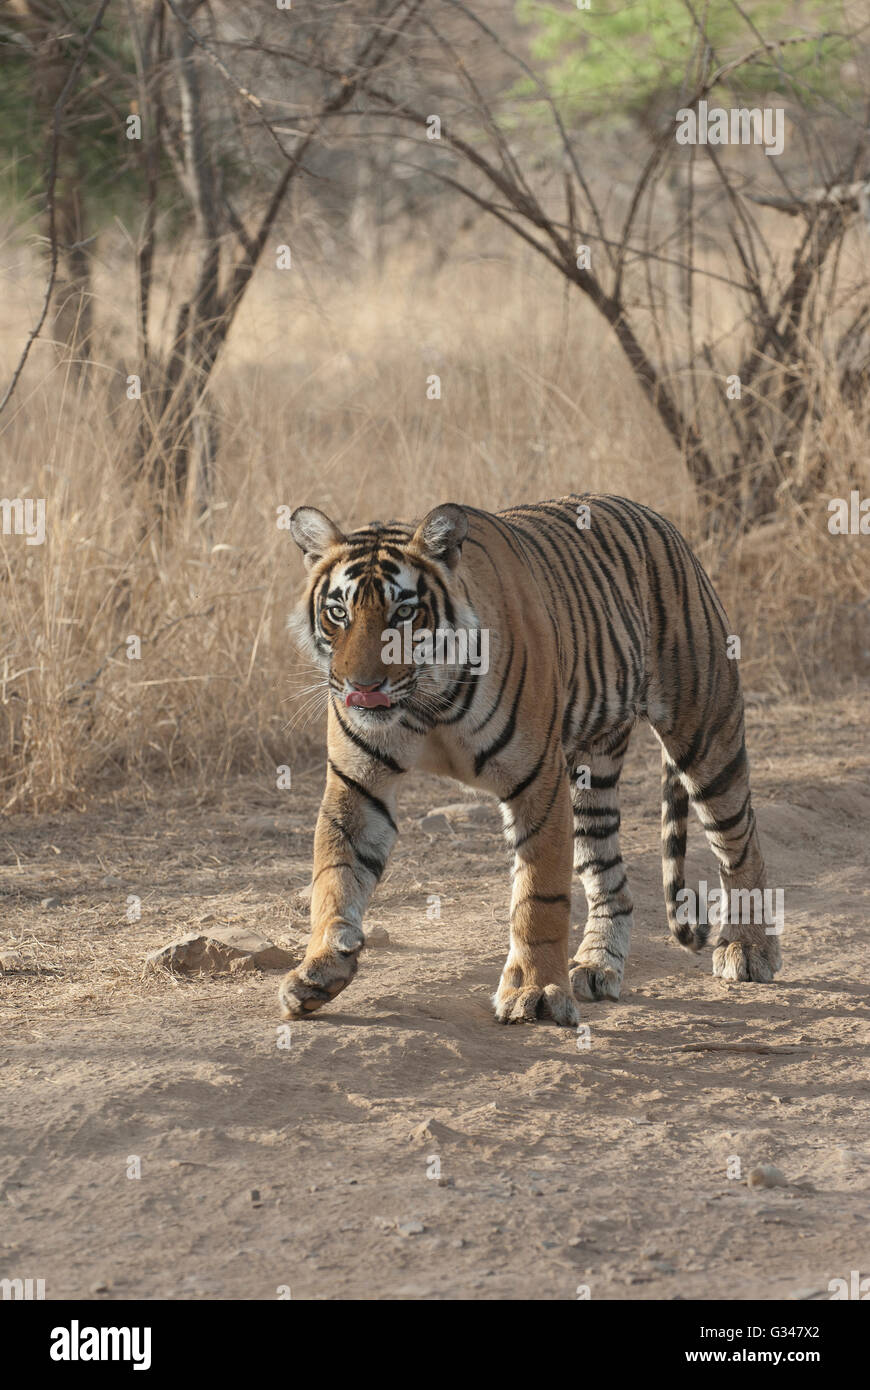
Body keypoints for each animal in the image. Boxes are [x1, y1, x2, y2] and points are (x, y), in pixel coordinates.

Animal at [279, 494, 781, 1026]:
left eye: (404, 611)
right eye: (338, 612)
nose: (363, 687)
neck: (426, 701)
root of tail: (656, 517)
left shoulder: (537, 779)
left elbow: (539, 895)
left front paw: (535, 992)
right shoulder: (358, 785)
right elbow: (335, 875)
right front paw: (321, 968)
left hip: (705, 732)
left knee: (740, 841)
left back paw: (748, 950)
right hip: (591, 776)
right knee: (611, 880)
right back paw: (597, 966)